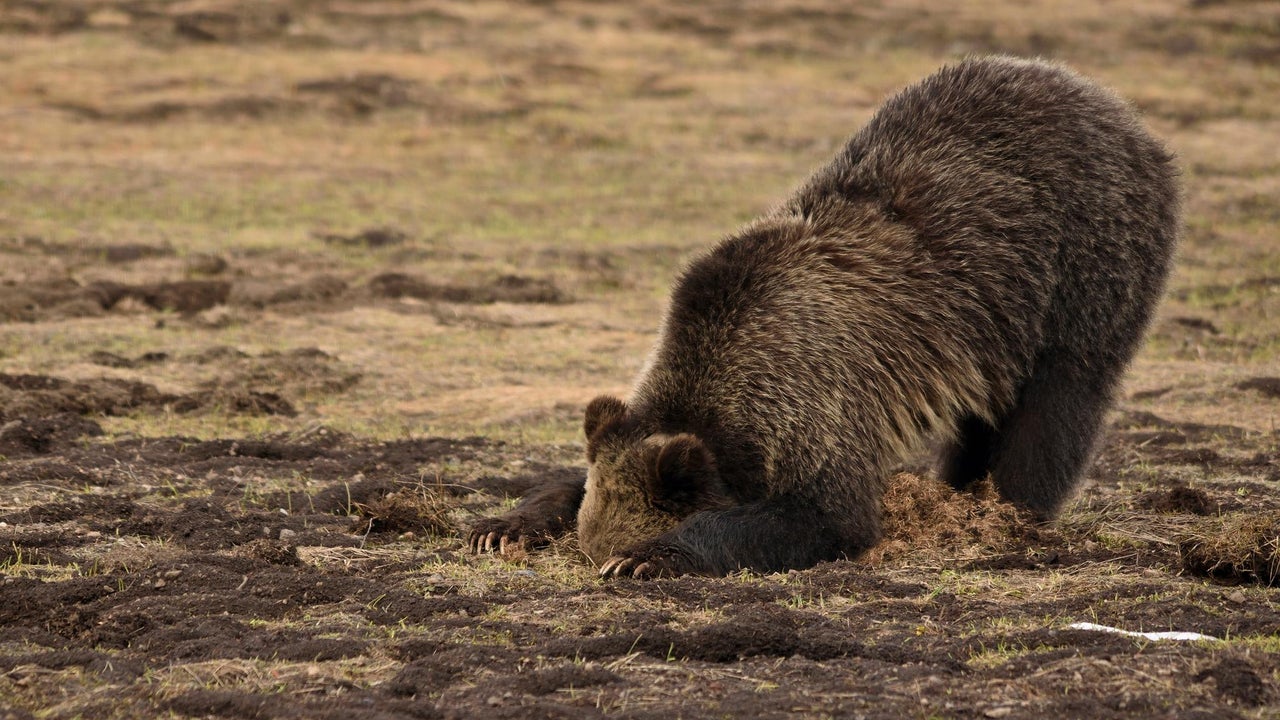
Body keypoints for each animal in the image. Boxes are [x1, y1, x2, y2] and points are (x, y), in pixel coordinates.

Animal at [469, 56, 1181, 578]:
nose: (609, 555)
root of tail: (1114, 105)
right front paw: (503, 527)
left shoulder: (818, 397)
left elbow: (823, 516)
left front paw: (647, 558)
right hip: (998, 321)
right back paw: (959, 493)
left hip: (1083, 260)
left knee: (1059, 400)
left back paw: (1007, 512)